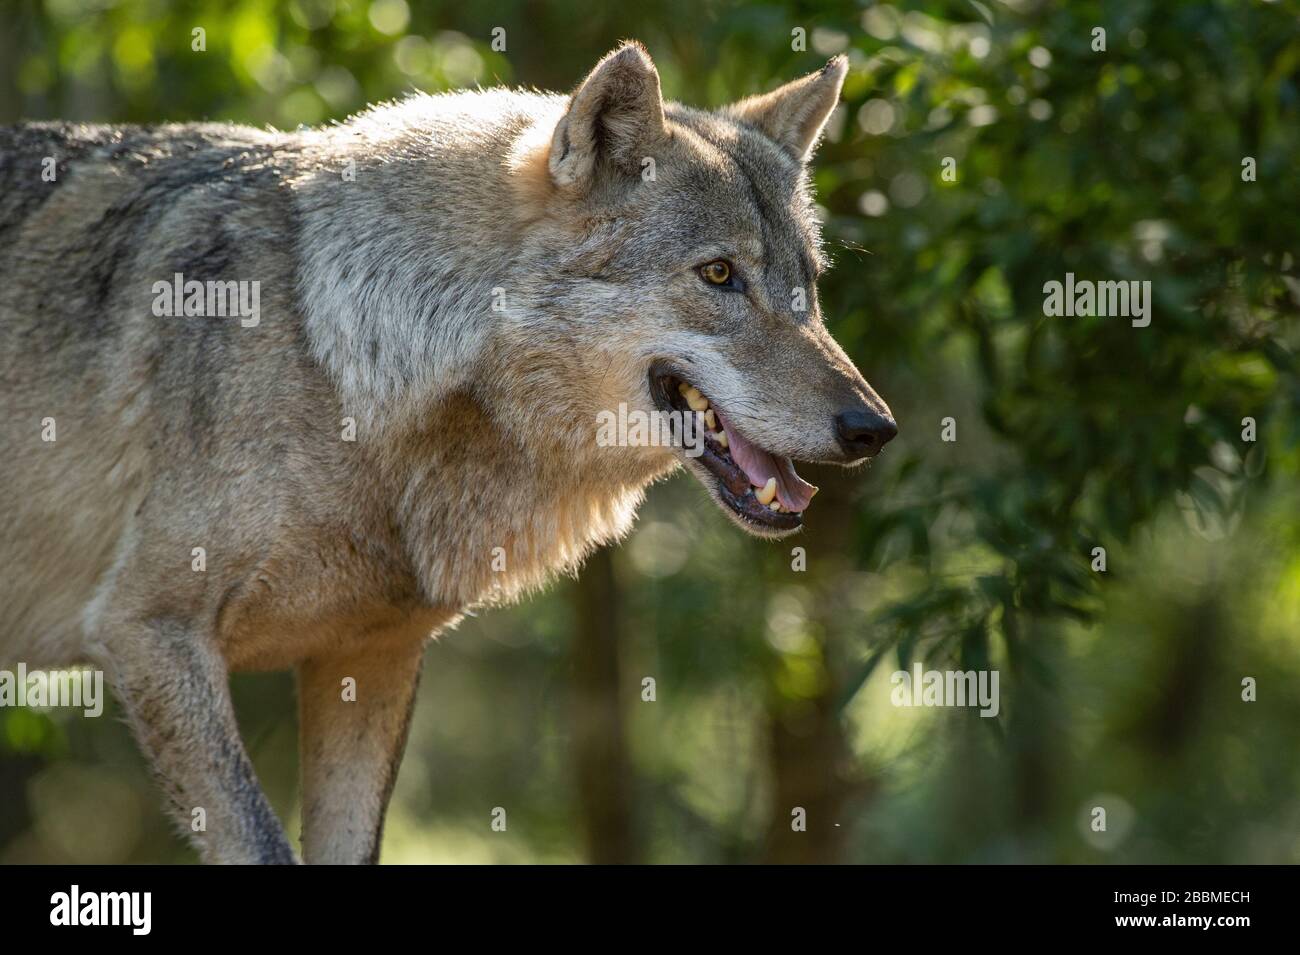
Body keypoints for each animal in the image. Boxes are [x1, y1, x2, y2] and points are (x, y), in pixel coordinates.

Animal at [0, 42, 895, 863]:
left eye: (809, 287)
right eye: (717, 274)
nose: (873, 428)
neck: (336, 361)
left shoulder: (372, 656)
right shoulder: (150, 630)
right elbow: (261, 840)